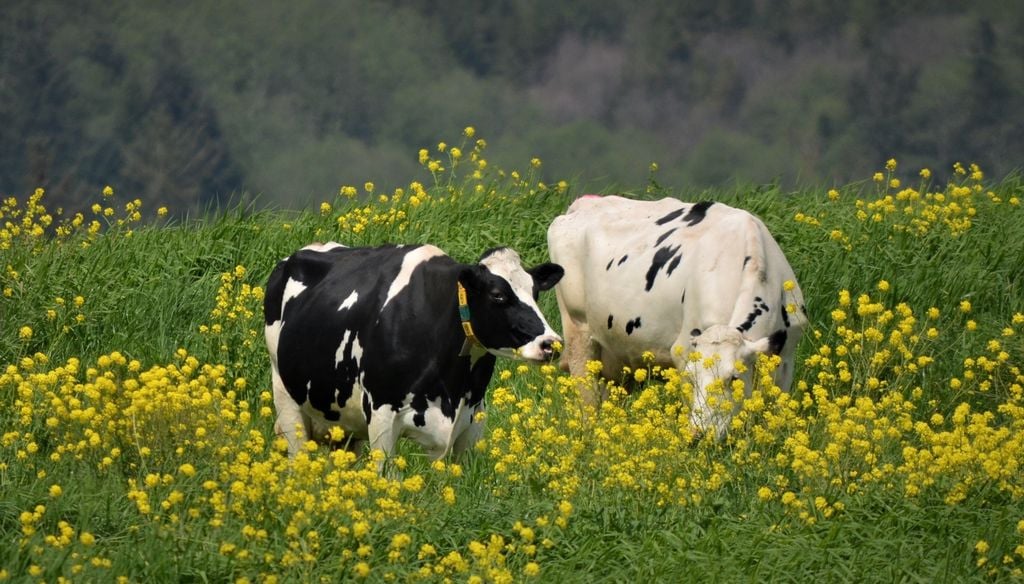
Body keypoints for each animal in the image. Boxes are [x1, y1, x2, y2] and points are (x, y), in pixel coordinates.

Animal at [264, 242, 564, 465]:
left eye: (535, 292)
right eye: (498, 294)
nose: (551, 343)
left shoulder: (474, 416)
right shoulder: (381, 412)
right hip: (285, 394)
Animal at [547, 195, 806, 439]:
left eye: (734, 378)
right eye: (692, 378)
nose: (698, 434)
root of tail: (584, 204)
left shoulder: (786, 359)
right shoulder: (683, 353)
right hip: (578, 330)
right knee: (587, 400)